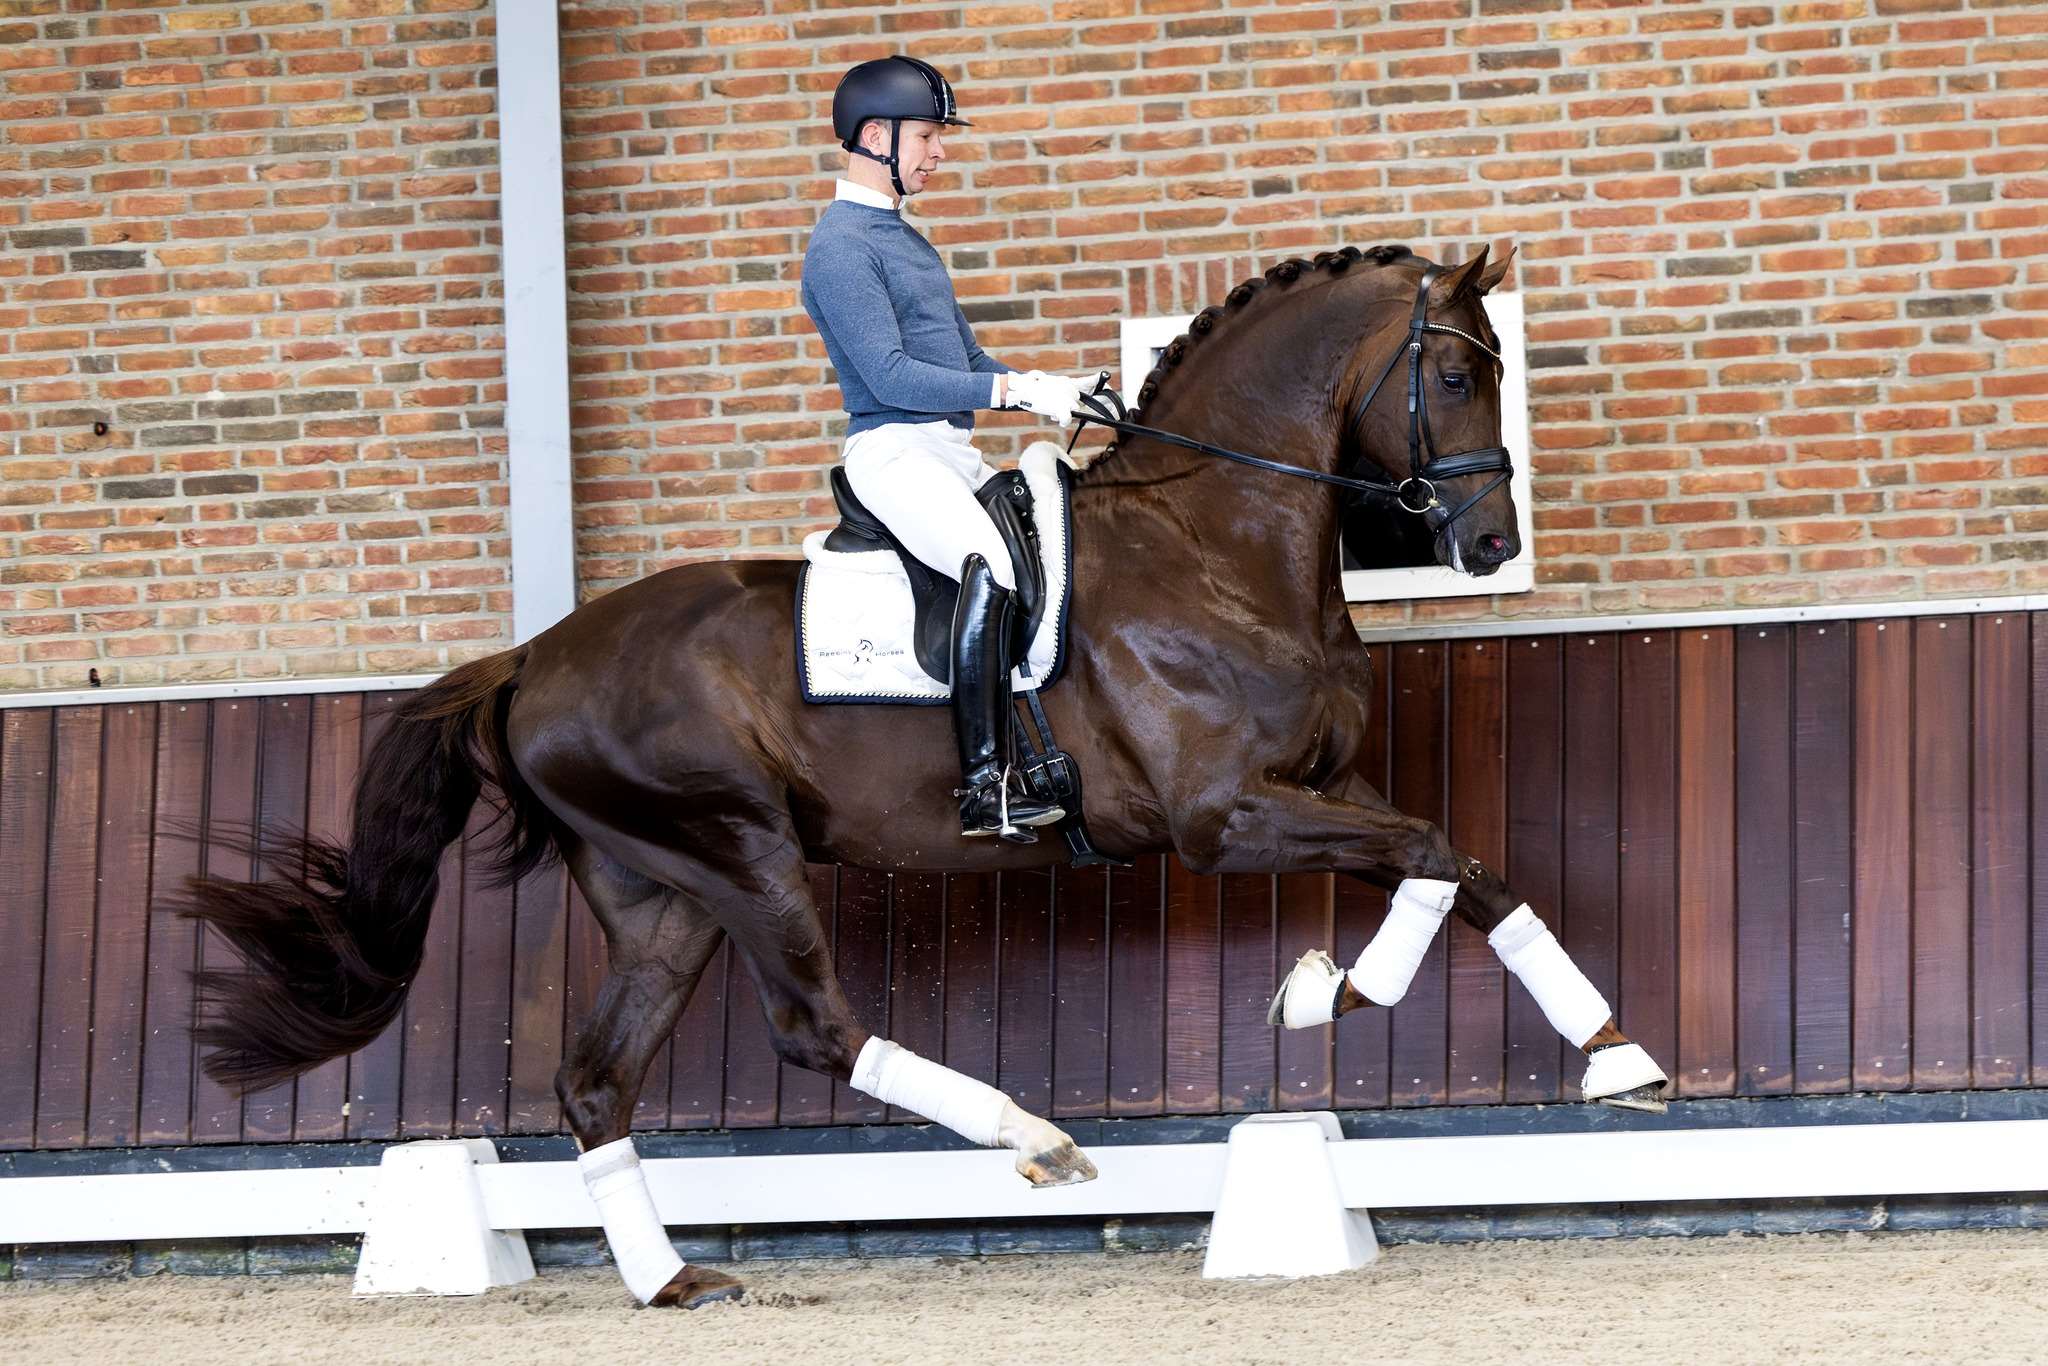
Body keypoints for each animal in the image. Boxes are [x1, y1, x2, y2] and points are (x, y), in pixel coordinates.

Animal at [180, 241, 1670, 1308]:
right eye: (1462, 375)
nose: (1489, 545)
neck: (1211, 543)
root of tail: (536, 653)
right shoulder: (1223, 817)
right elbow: (1431, 852)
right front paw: (1333, 995)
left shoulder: (1314, 788)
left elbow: (1458, 861)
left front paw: (1604, 1053)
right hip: (739, 852)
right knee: (812, 1029)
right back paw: (1034, 1137)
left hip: (661, 893)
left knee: (598, 1080)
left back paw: (671, 1280)